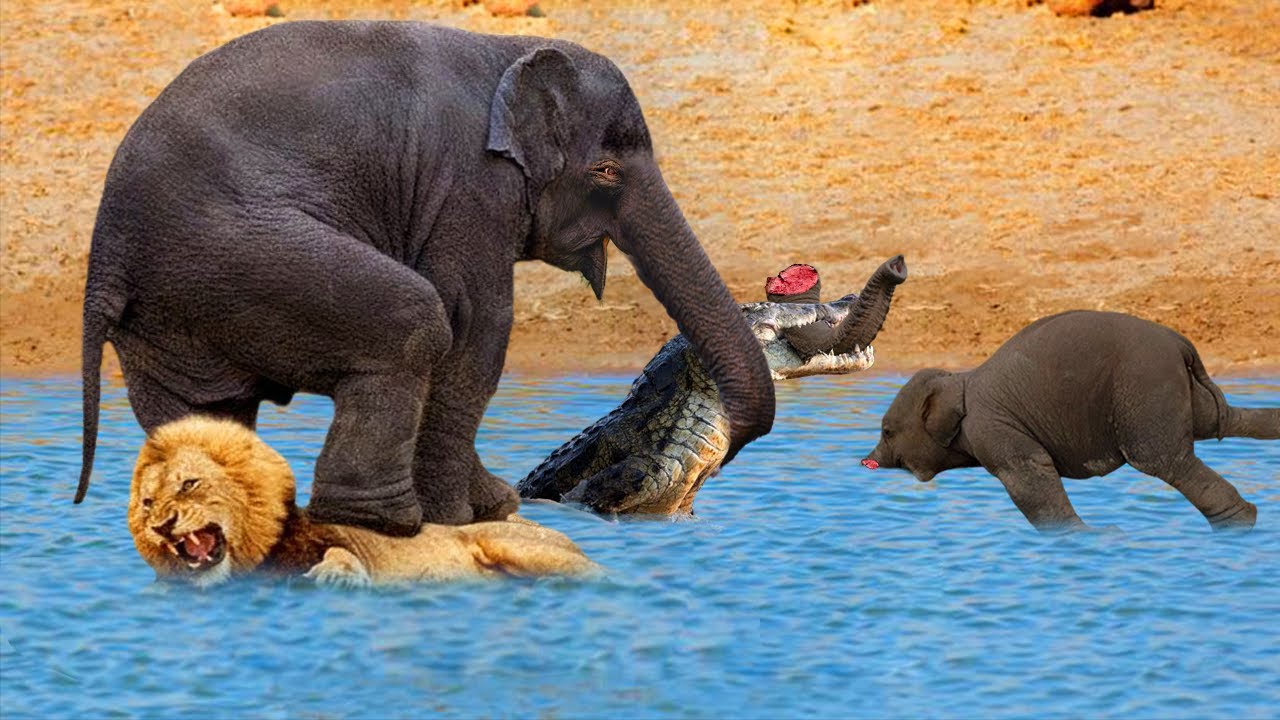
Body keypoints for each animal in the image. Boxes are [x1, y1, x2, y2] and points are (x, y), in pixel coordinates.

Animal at [76, 21, 776, 536]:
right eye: (605, 170)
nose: (725, 452)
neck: (508, 53)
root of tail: (104, 256)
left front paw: (494, 507)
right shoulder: (471, 186)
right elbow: (478, 324)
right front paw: (466, 516)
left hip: (173, 308)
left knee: (205, 412)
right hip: (238, 255)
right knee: (414, 322)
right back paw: (387, 521)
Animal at [127, 416, 601, 588]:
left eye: (189, 484)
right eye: (148, 502)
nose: (161, 524)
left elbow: (342, 554)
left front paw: (333, 576)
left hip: (519, 546)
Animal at [863, 310, 1279, 532]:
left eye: (887, 431)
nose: (867, 460)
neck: (958, 380)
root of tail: (1181, 343)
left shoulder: (991, 430)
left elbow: (1031, 479)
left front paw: (1088, 537)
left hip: (1144, 384)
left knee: (1163, 460)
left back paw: (1240, 526)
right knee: (1224, 422)